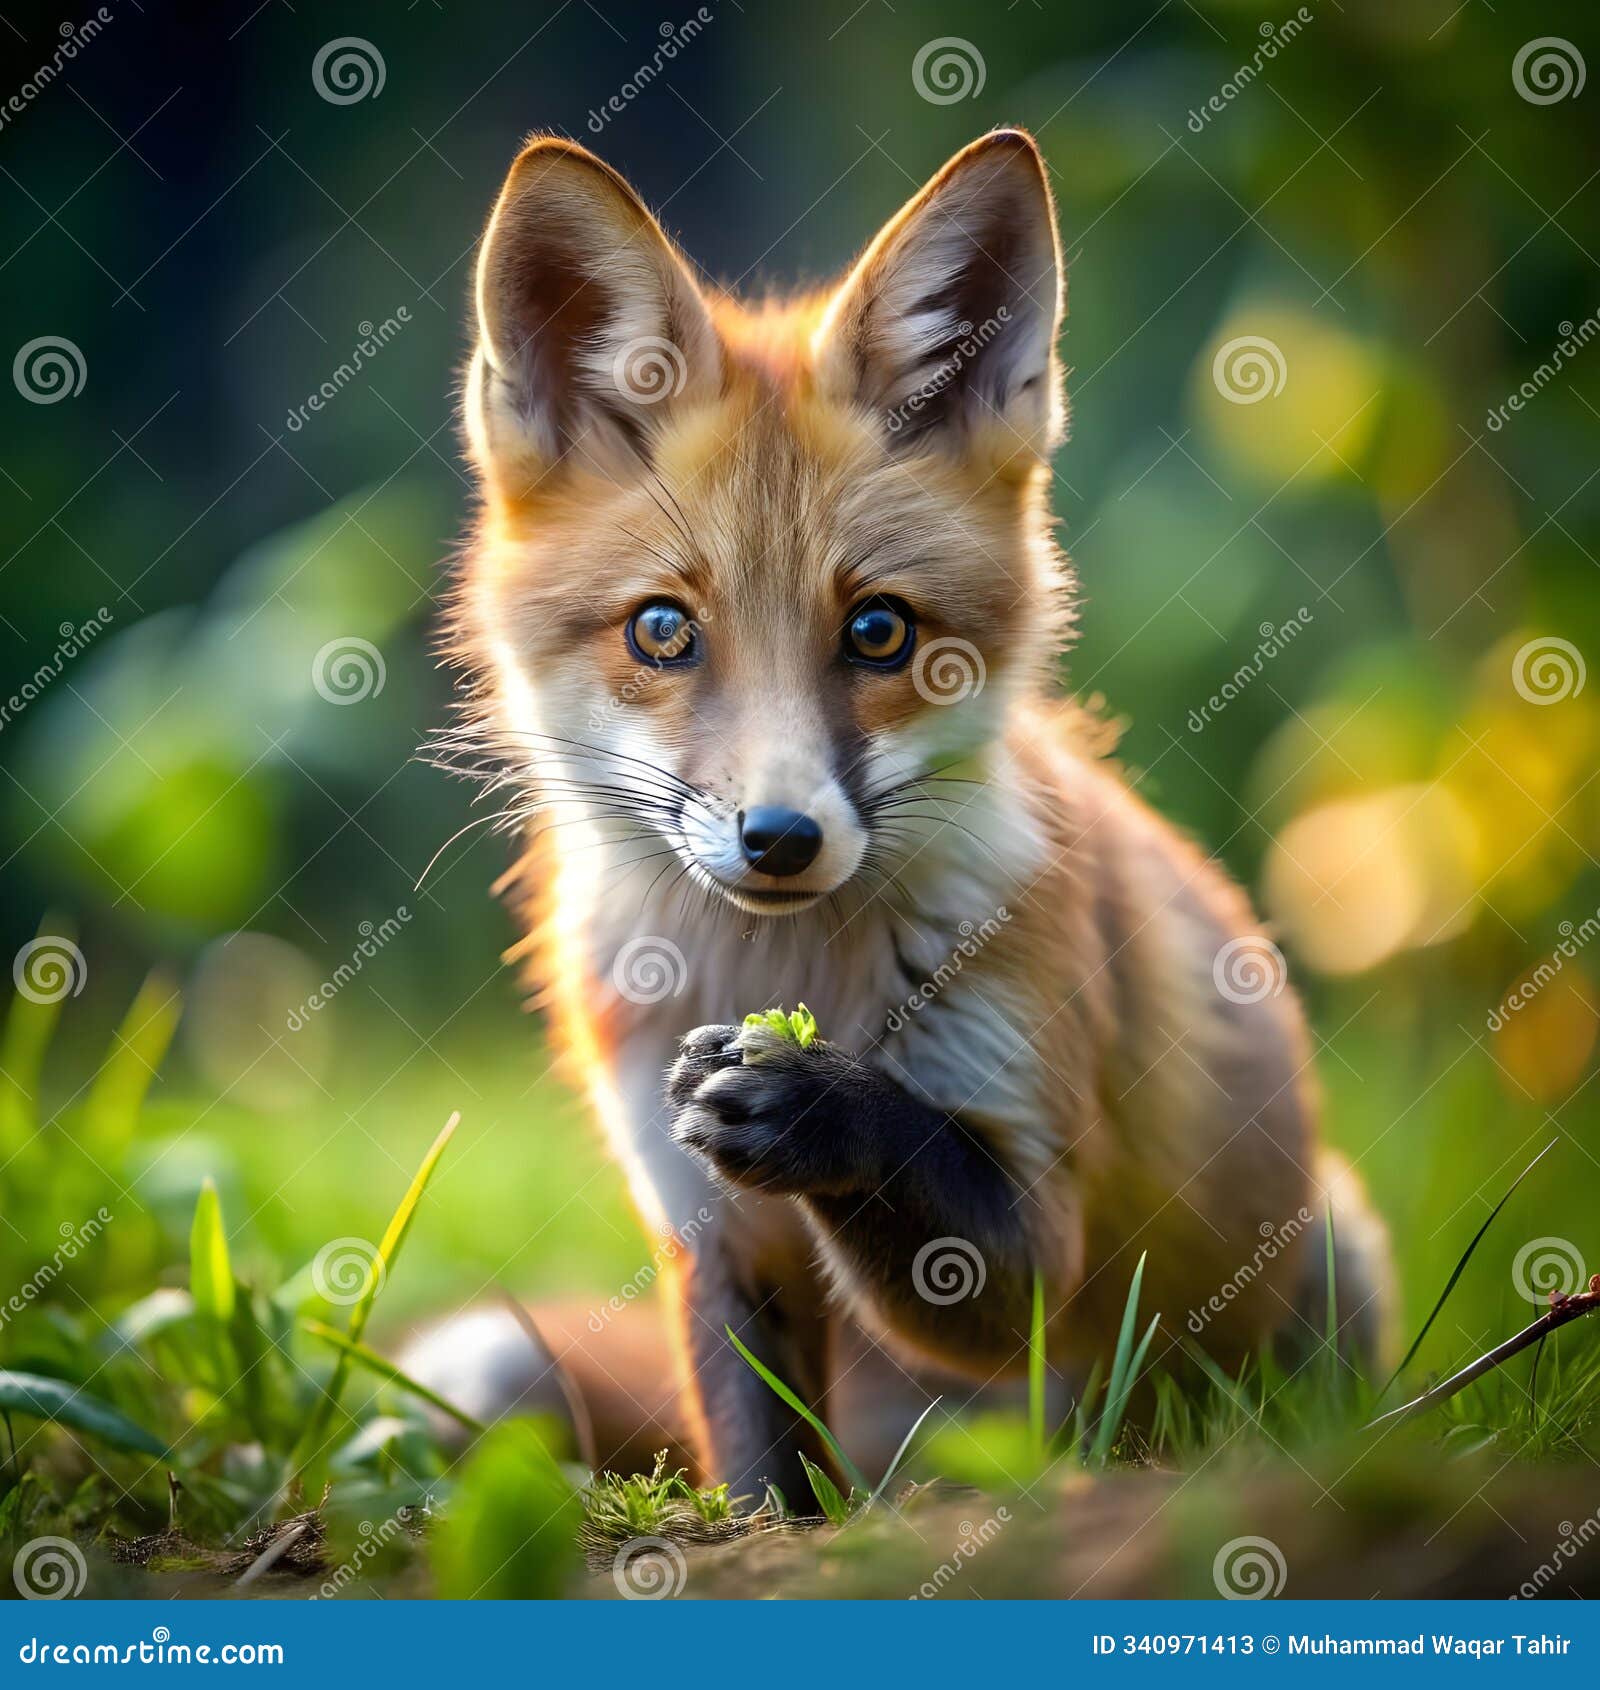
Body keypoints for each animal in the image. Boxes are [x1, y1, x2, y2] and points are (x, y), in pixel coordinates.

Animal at [416, 127, 1395, 1503]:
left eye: (879, 630)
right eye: (662, 629)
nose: (778, 838)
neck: (782, 972)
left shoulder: (1038, 1216)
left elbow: (949, 1197)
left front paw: (818, 1104)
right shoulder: (703, 1225)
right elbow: (760, 1461)